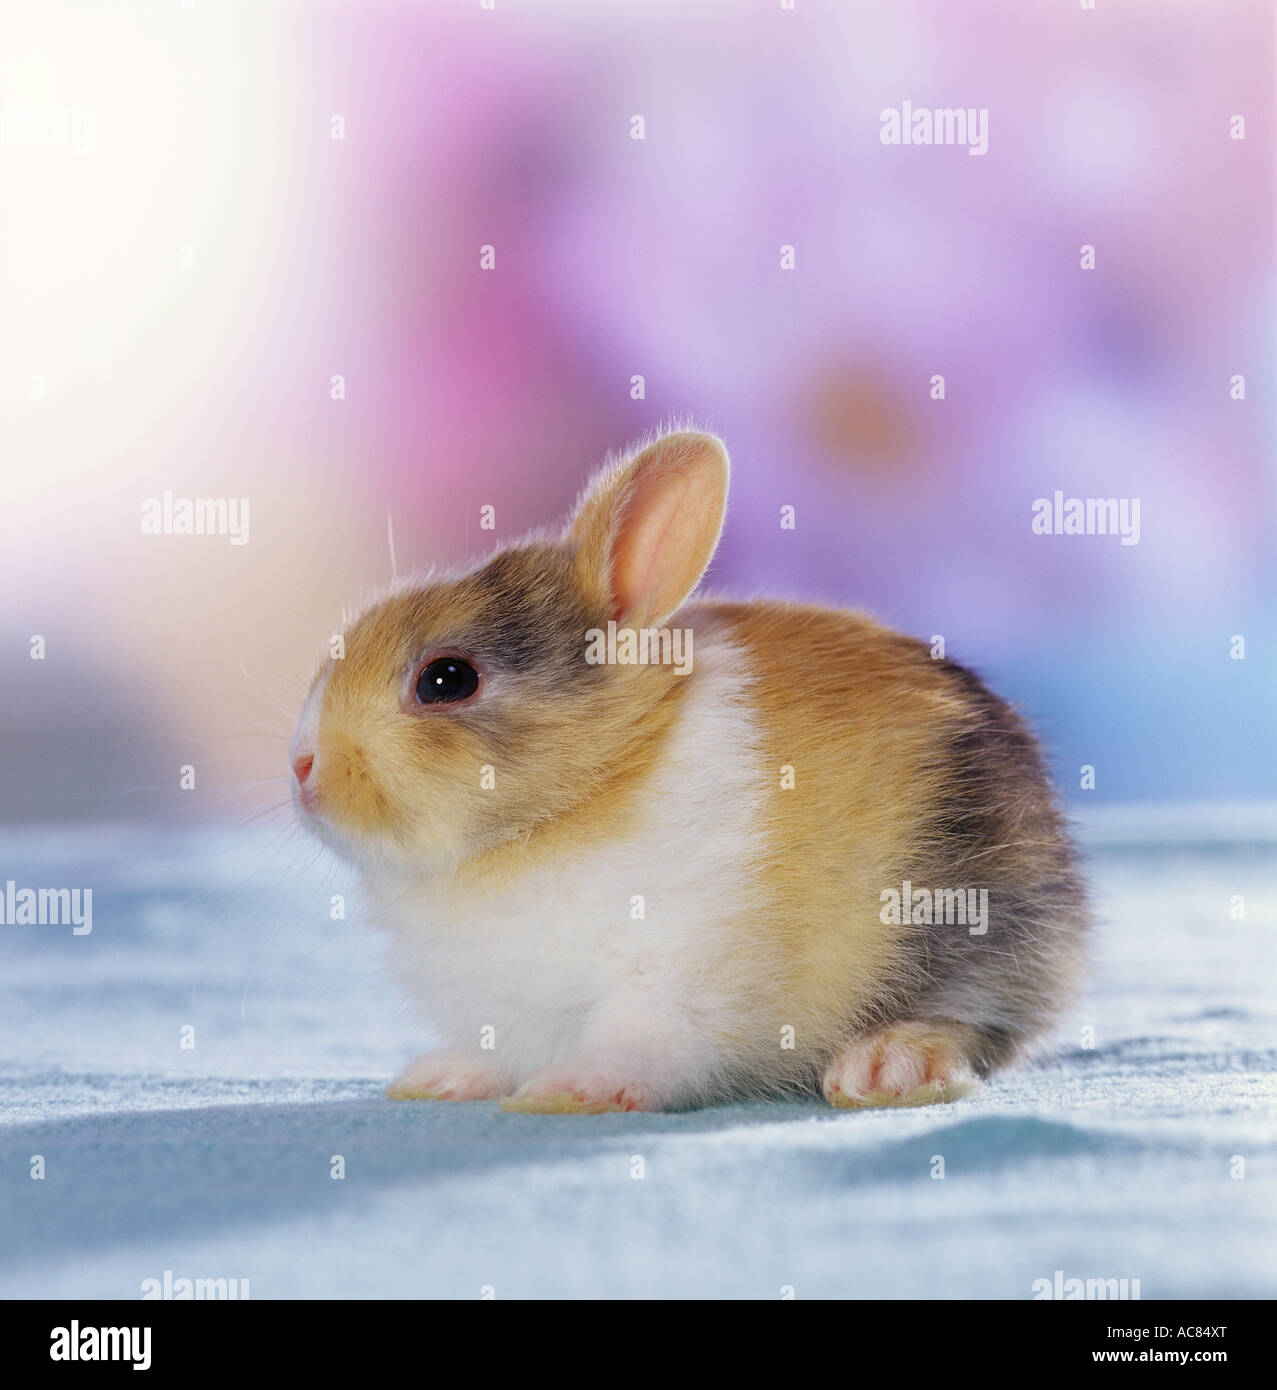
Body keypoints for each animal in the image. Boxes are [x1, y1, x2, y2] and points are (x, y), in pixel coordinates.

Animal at [291, 428, 1088, 1113]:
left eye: (447, 680)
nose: (302, 768)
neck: (587, 794)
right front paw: (441, 1077)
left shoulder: (667, 987)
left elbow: (636, 1047)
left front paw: (570, 1092)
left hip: (973, 928)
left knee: (981, 1026)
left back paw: (886, 1066)